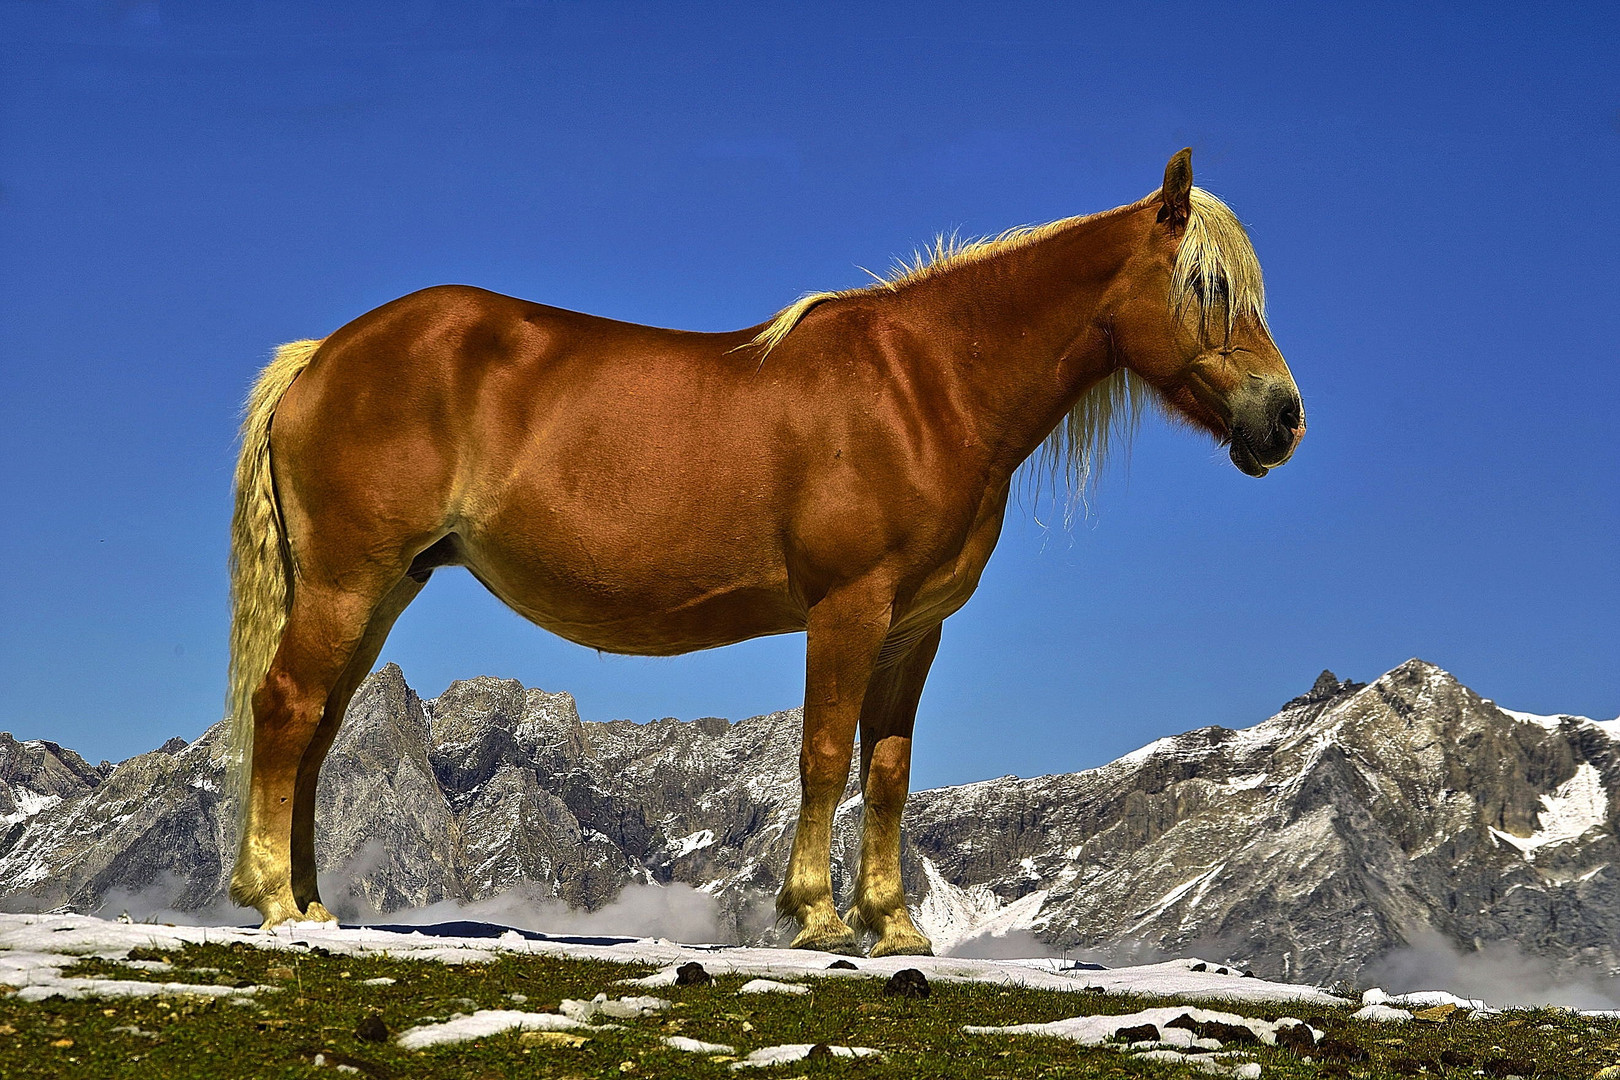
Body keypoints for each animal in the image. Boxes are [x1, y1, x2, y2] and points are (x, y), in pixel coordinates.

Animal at [225, 145, 1302, 952]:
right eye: (1206, 286)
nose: (1282, 419)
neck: (927, 388)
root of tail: (322, 356)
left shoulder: (914, 630)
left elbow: (888, 771)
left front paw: (894, 928)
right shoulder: (848, 609)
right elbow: (824, 755)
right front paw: (819, 918)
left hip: (381, 588)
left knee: (319, 727)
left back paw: (311, 906)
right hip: (348, 581)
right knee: (287, 708)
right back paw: (275, 898)